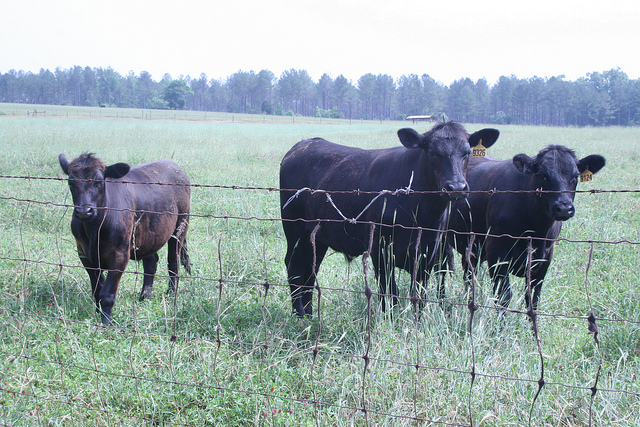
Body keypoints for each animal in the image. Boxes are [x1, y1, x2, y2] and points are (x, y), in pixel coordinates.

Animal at [59, 153, 191, 325]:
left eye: (99, 182)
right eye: (71, 182)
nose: (84, 211)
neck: (94, 230)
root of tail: (175, 166)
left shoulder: (120, 254)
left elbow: (107, 293)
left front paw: (105, 322)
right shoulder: (84, 253)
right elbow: (97, 289)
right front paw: (98, 312)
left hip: (181, 224)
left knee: (173, 262)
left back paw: (170, 294)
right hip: (148, 235)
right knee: (151, 263)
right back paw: (145, 296)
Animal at [280, 121, 500, 317]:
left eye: (467, 153)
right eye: (433, 153)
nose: (456, 187)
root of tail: (303, 144)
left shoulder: (429, 251)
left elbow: (419, 294)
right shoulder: (380, 250)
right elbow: (390, 292)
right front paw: (390, 321)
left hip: (316, 238)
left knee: (310, 269)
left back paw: (309, 313)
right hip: (295, 230)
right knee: (294, 266)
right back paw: (299, 314)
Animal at [443, 145, 605, 312]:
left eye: (575, 176)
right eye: (543, 175)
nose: (564, 208)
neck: (536, 230)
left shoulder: (545, 258)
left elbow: (533, 298)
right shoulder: (496, 253)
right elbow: (503, 298)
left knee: (469, 274)